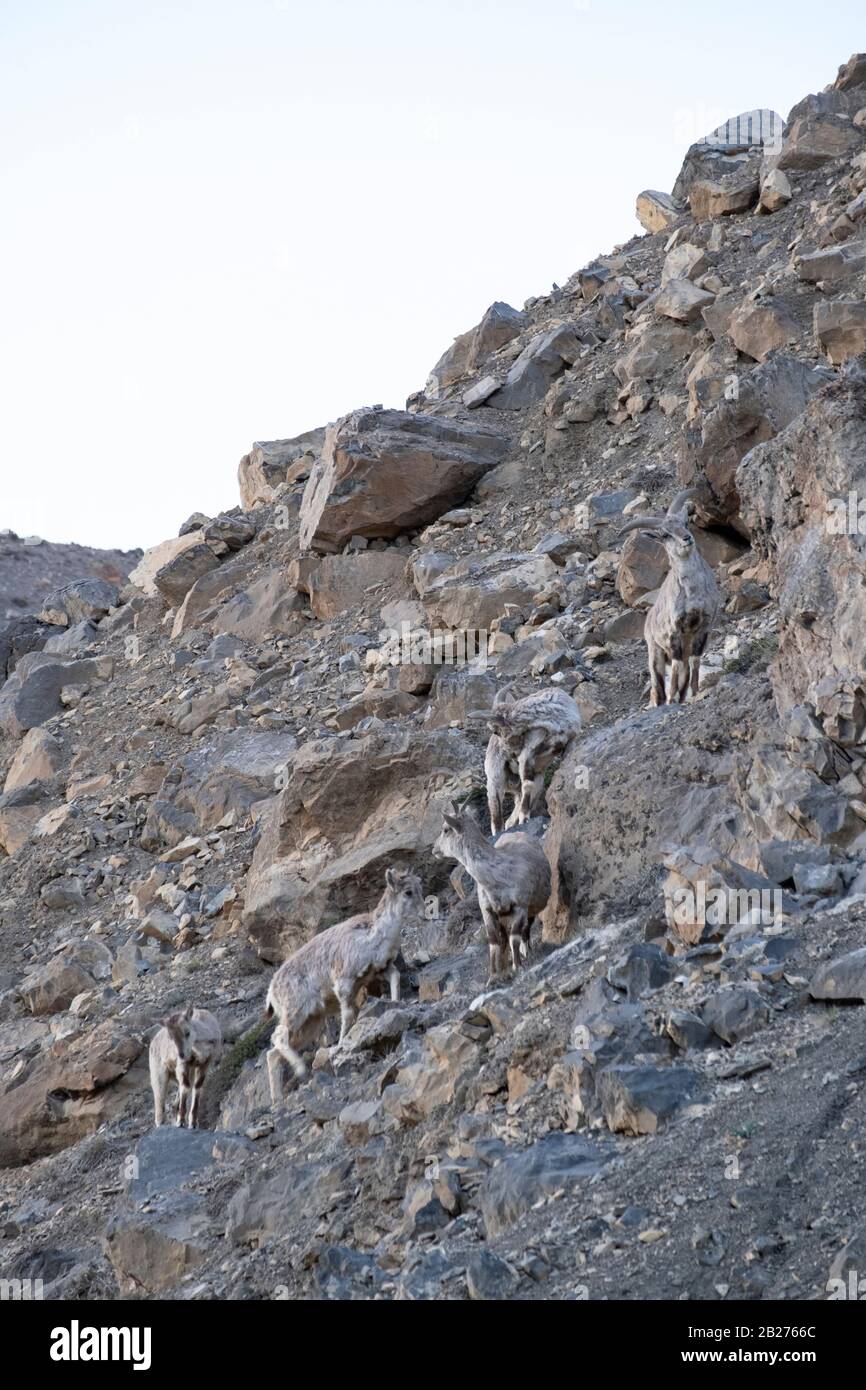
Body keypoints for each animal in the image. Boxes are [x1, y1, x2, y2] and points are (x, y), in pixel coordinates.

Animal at [265, 866, 424, 1104]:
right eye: (408, 892)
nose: (425, 913)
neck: (372, 935)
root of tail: (272, 992)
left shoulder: (380, 970)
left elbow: (395, 978)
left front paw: (397, 1003)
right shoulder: (344, 984)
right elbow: (348, 1015)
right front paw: (341, 1046)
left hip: (309, 1025)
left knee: (273, 1054)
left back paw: (277, 1100)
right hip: (295, 1014)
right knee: (278, 1037)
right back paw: (301, 1070)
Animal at [433, 804, 551, 981]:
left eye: (446, 829)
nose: (435, 849)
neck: (497, 877)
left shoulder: (520, 905)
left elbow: (515, 937)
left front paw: (518, 967)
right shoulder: (488, 910)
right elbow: (494, 942)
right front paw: (493, 977)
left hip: (531, 908)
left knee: (525, 929)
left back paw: (526, 950)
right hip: (502, 916)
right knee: (504, 937)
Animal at [485, 686, 582, 833]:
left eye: (495, 731)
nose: (511, 754)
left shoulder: (569, 740)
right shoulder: (531, 744)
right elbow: (527, 783)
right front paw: (524, 819)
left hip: (534, 782)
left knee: (510, 818)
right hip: (494, 781)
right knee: (496, 817)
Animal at [618, 488, 720, 707]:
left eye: (685, 523)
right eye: (665, 534)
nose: (687, 539)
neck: (692, 593)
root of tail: (648, 620)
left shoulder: (703, 626)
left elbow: (694, 662)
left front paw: (696, 691)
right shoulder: (674, 631)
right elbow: (675, 665)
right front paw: (672, 698)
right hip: (654, 652)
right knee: (657, 685)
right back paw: (662, 701)